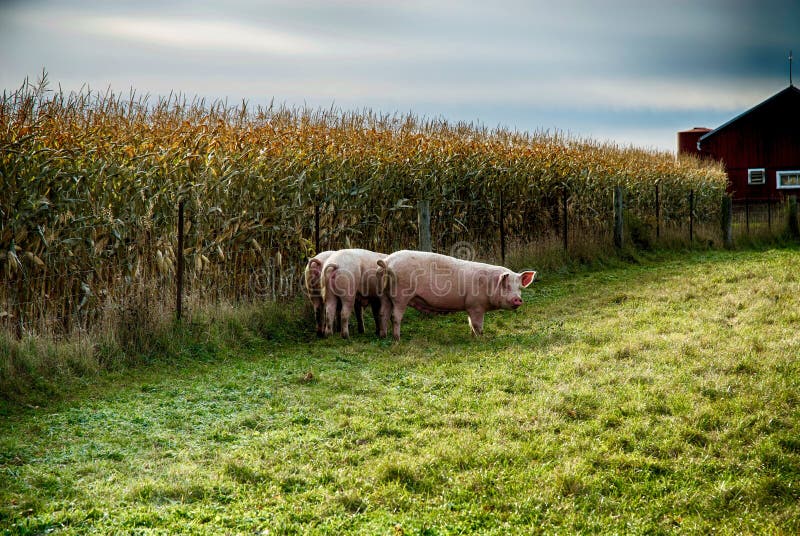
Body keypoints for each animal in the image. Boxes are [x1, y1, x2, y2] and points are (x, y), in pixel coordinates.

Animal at [377, 250, 536, 340]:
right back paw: (397, 339)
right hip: (400, 295)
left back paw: (384, 336)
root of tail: (387, 262)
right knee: (395, 316)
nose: (518, 299)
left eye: (519, 287)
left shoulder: (470, 307)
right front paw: (482, 339)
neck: (488, 284)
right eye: (506, 286)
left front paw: (472, 338)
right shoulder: (475, 306)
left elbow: (470, 323)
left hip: (384, 294)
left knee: (383, 313)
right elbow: (477, 324)